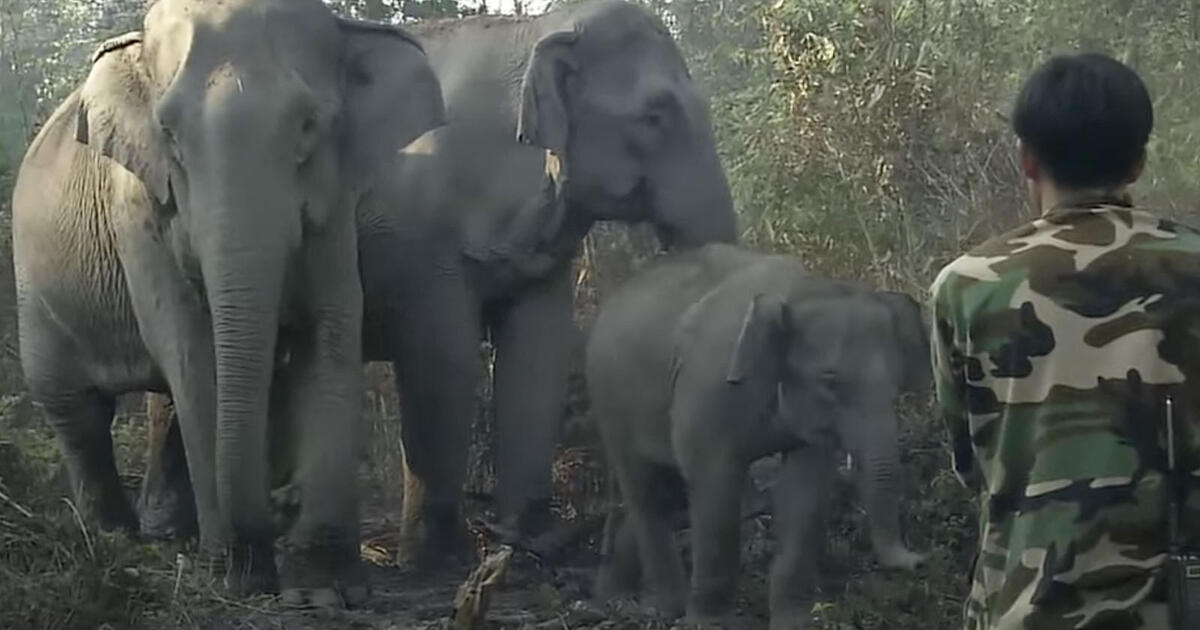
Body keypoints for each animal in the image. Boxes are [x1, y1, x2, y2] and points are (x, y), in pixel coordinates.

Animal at [10, 0, 445, 606]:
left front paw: (324, 590)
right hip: (35, 292)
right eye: (167, 131)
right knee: (76, 409)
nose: (283, 500)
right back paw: (115, 539)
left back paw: (168, 536)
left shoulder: (335, 208)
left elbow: (329, 334)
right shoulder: (137, 209)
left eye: (308, 125)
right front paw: (238, 576)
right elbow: (193, 352)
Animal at [585, 243, 929, 629]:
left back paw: (613, 599)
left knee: (665, 489)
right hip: (609, 399)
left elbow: (806, 490)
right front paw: (710, 624)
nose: (918, 560)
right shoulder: (709, 390)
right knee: (647, 492)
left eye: (897, 382)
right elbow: (716, 486)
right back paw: (657, 609)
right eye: (830, 381)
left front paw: (795, 622)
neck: (801, 293)